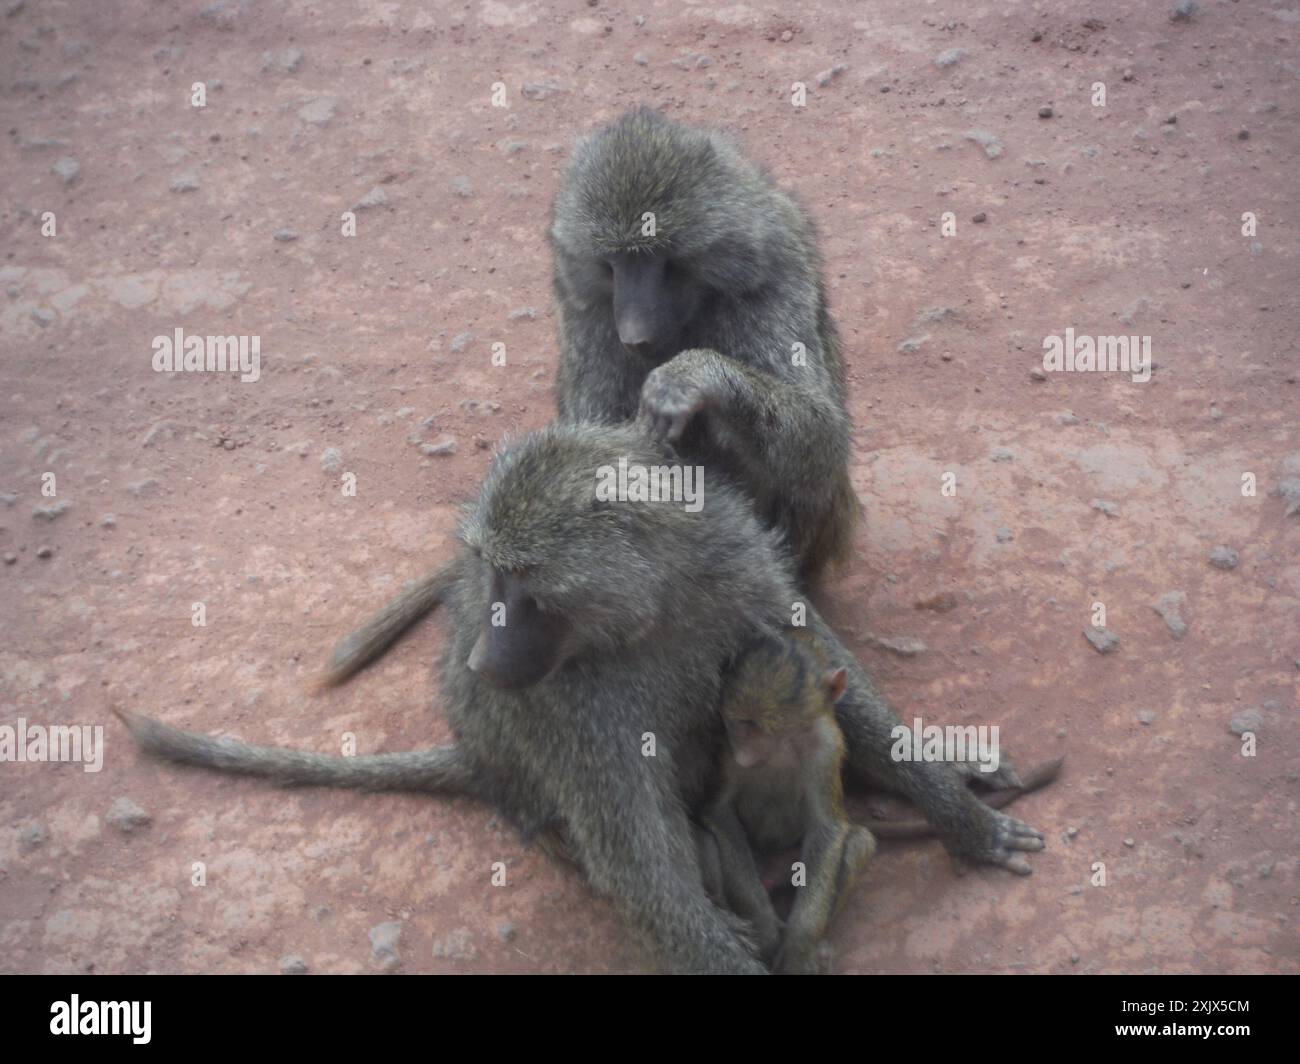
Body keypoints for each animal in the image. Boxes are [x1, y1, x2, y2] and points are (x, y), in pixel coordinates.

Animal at [320, 107, 858, 686]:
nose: (634, 332)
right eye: (613, 263)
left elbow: (821, 438)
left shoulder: (772, 274)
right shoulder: (584, 303)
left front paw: (689, 378)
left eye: (661, 259)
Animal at [697, 626, 876, 974]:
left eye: (759, 729)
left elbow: (827, 828)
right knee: (709, 843)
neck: (783, 747)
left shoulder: (826, 748)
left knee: (857, 843)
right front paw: (764, 926)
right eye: (736, 725)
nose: (744, 752)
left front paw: (798, 946)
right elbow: (719, 811)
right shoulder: (727, 753)